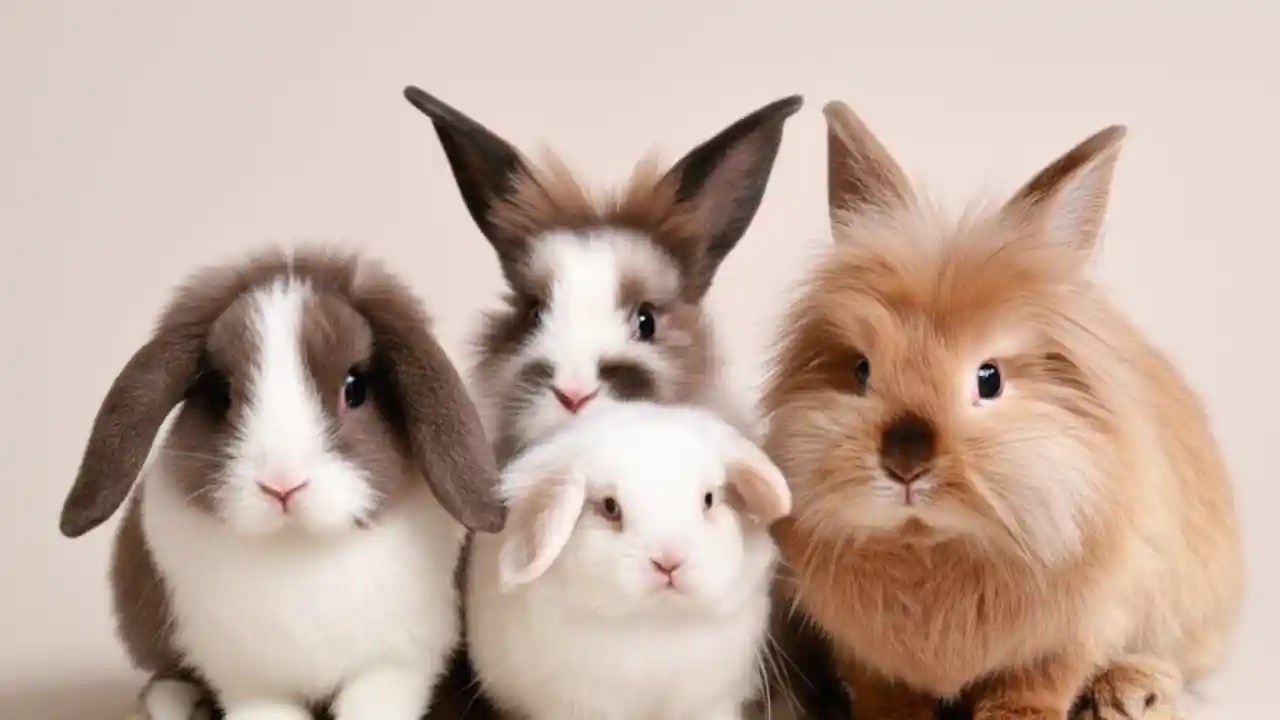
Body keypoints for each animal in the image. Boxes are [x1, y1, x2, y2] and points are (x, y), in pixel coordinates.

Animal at [59, 246, 505, 720]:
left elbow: (373, 703)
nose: (282, 484)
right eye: (220, 393)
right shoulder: (250, 681)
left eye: (355, 387)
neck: (297, 545)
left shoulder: (395, 665)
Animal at [762, 100, 1244, 720]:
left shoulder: (1076, 625)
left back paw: (1133, 692)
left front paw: (1019, 716)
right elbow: (884, 690)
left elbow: (1037, 681)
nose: (905, 463)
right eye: (862, 370)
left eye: (988, 379)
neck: (932, 544)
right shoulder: (863, 651)